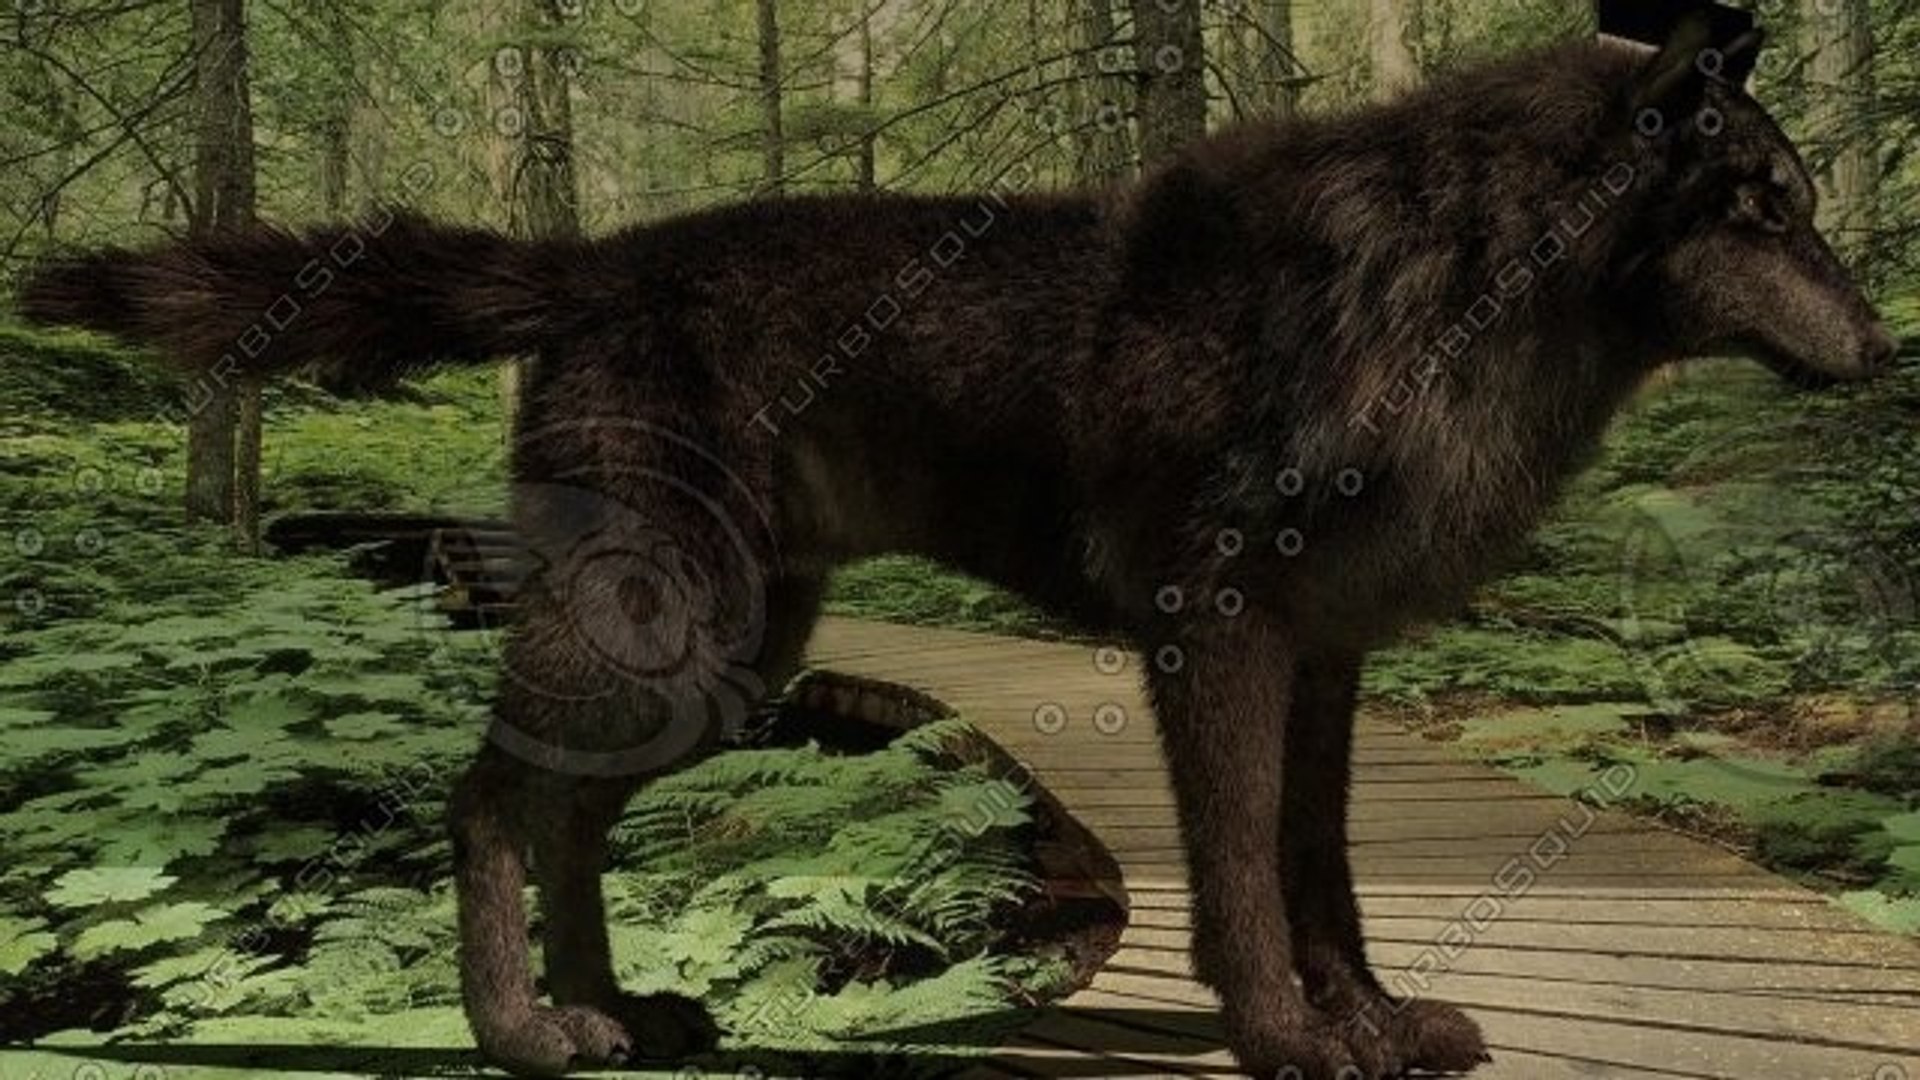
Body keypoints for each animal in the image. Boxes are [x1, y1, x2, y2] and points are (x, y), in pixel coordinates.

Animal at [18, 12, 1895, 1079]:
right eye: (1765, 211)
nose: (1890, 353)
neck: (1451, 288)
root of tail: (596, 261)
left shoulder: (1328, 660)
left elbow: (1326, 872)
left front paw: (1369, 1025)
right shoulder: (1216, 635)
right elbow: (1242, 877)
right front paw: (1286, 1039)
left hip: (731, 662)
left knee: (565, 817)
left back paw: (629, 1020)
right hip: (663, 636)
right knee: (487, 799)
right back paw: (523, 1034)